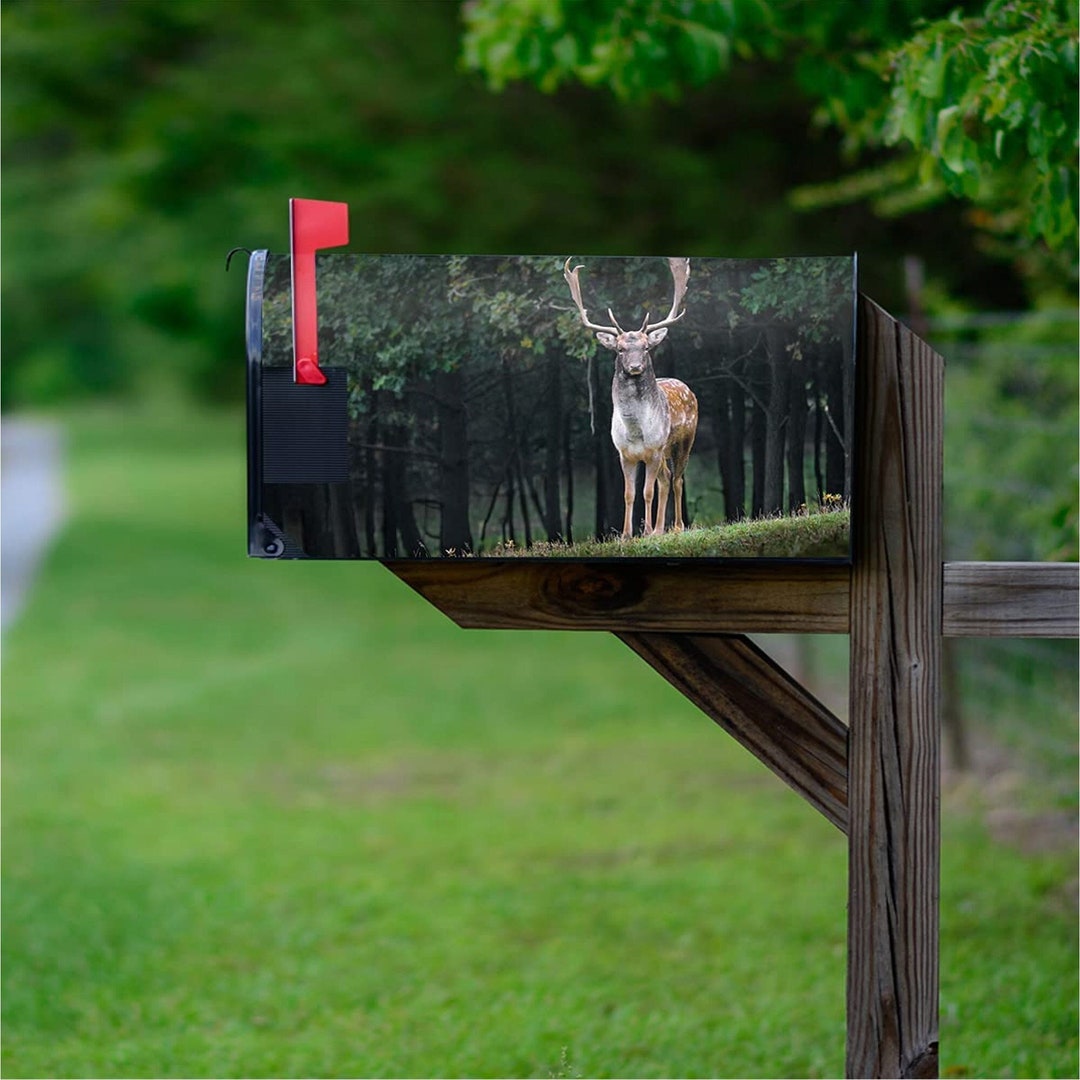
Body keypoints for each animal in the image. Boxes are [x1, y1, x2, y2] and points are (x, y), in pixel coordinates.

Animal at [564, 256, 699, 539]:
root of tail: (687, 388)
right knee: (666, 479)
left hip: (684, 441)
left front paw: (644, 531)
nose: (635, 366)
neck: (636, 431)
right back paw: (660, 529)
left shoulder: (654, 450)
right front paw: (627, 534)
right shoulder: (625, 454)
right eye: (620, 349)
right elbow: (629, 493)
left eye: (646, 347)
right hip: (663, 453)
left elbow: (647, 492)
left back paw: (676, 526)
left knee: (677, 478)